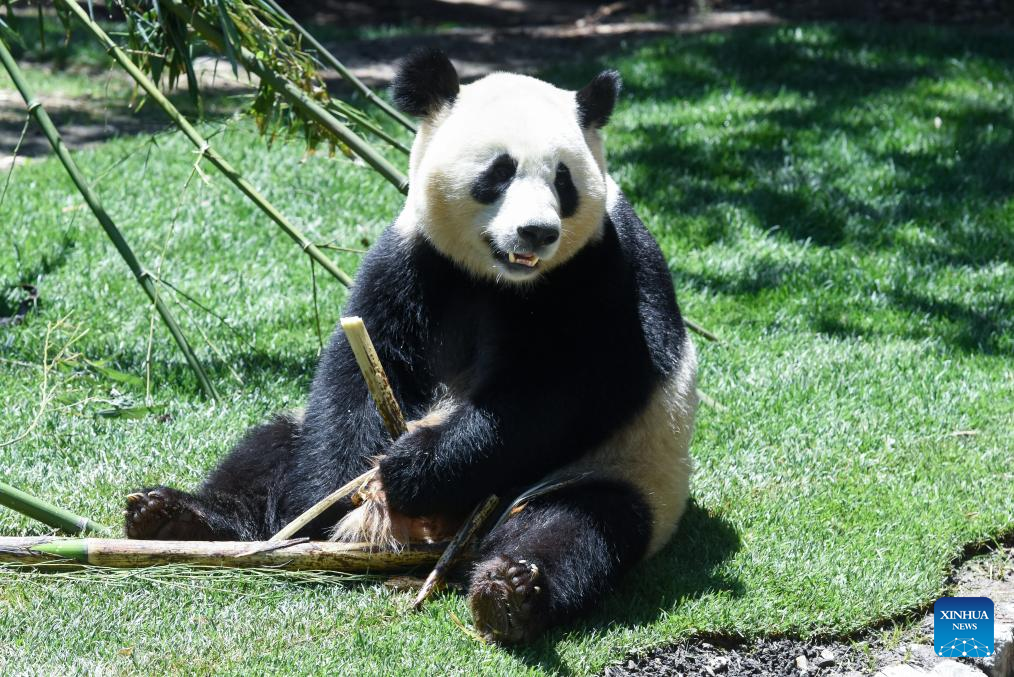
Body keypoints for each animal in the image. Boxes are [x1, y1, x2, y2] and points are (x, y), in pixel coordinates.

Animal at [123, 48, 698, 645]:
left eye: (564, 181)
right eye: (499, 172)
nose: (537, 233)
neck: (498, 279)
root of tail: (444, 539)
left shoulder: (599, 272)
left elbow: (561, 394)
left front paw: (409, 471)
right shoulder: (413, 257)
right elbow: (363, 368)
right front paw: (338, 499)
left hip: (615, 470)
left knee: (578, 528)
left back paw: (510, 591)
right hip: (296, 433)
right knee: (269, 449)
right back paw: (177, 517)